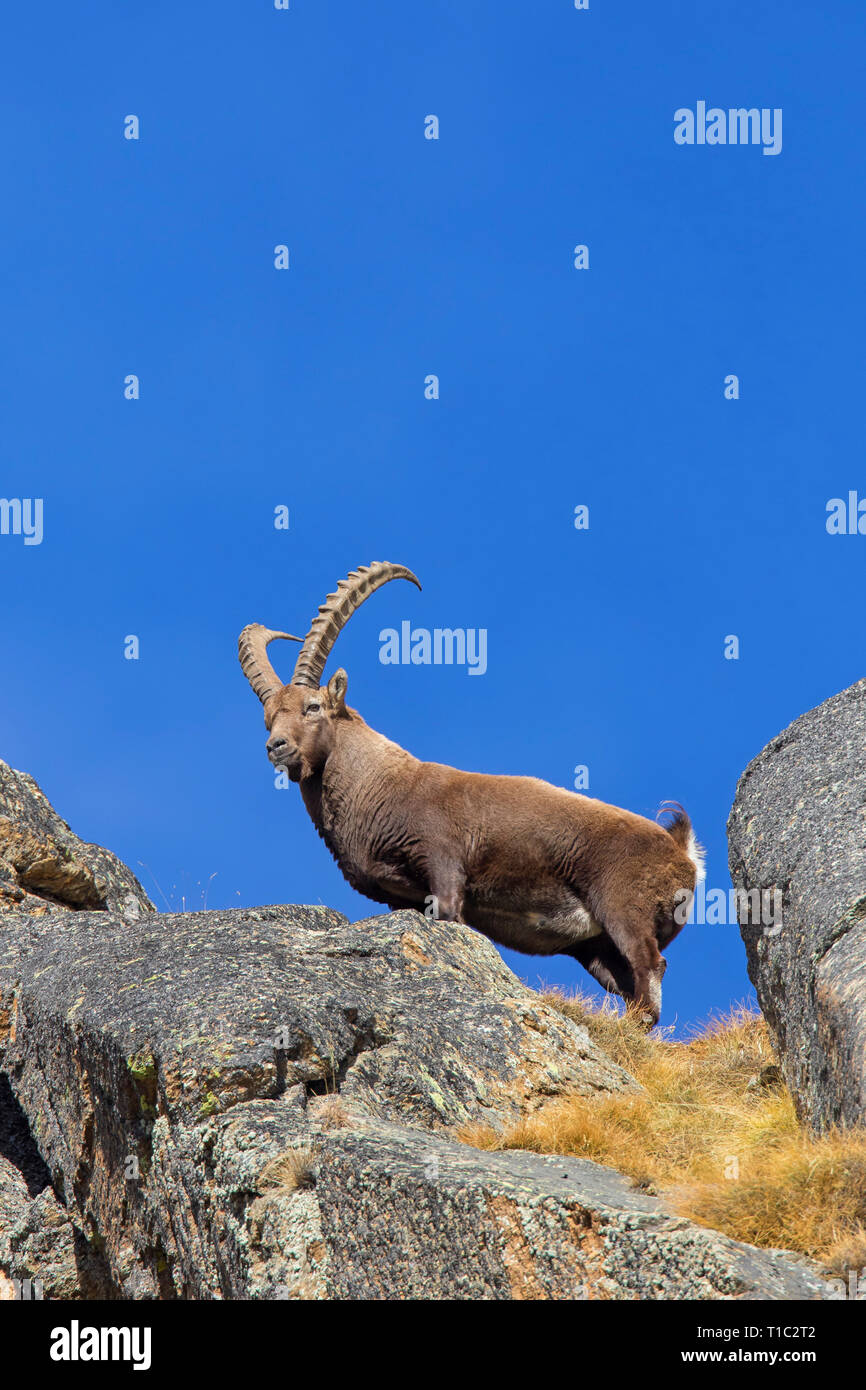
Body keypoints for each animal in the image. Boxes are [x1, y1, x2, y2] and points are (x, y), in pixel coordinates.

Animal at [238, 563, 704, 1025]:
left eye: (313, 707)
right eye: (267, 719)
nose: (276, 746)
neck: (380, 787)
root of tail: (681, 849)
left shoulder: (443, 867)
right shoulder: (398, 899)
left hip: (625, 910)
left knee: (651, 966)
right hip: (594, 946)